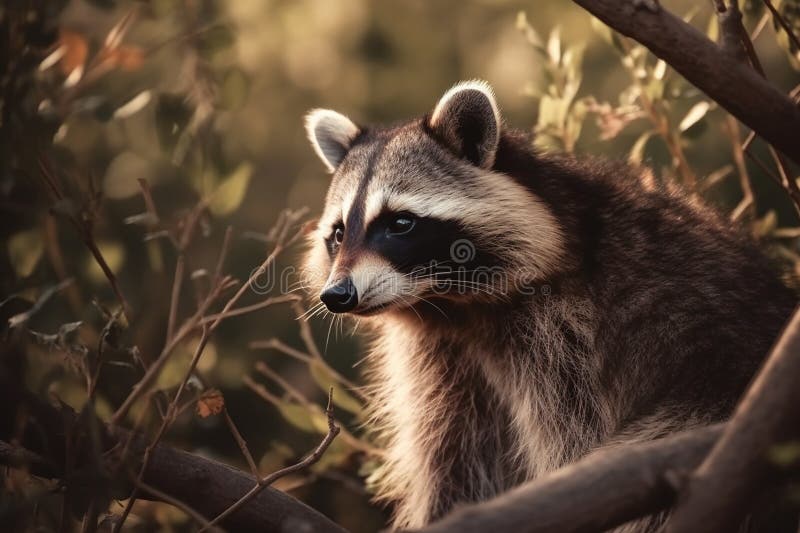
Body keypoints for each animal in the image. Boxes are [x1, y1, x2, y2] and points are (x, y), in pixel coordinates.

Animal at [302, 81, 796, 529]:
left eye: (400, 223)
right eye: (339, 233)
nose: (337, 295)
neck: (454, 303)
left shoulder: (566, 333)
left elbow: (574, 448)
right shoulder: (444, 354)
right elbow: (453, 450)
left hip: (712, 395)